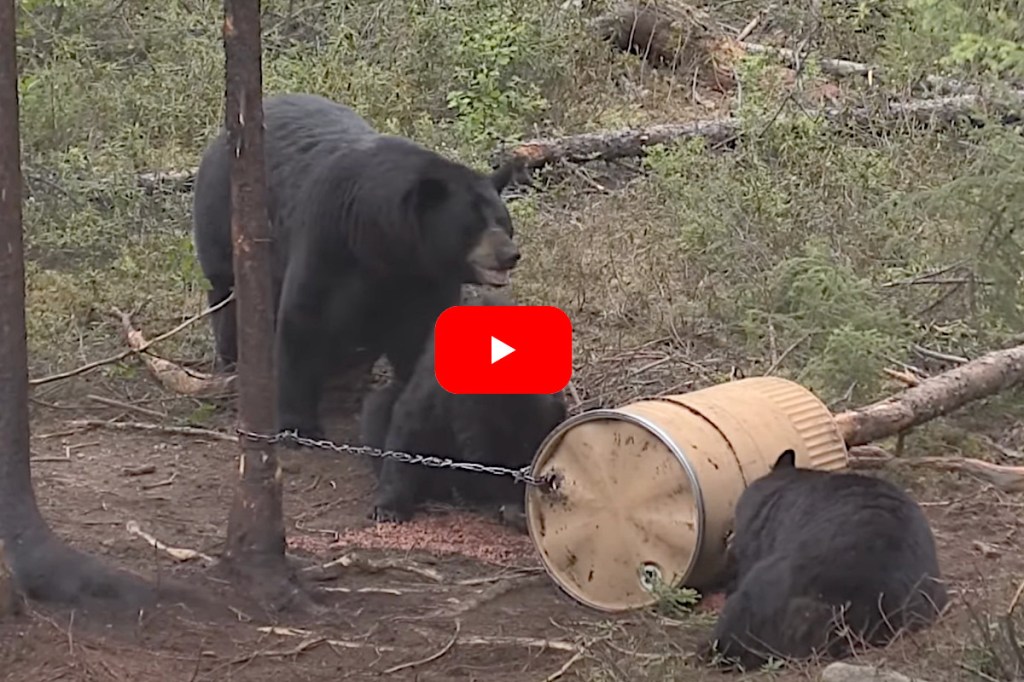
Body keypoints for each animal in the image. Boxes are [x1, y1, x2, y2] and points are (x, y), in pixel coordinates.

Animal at [191, 93, 526, 440]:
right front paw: (300, 423)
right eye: (472, 225)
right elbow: (305, 319)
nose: (509, 254)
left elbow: (420, 336)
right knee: (228, 296)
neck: (384, 243)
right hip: (224, 223)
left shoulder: (426, 277)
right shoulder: (329, 240)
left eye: (503, 221)